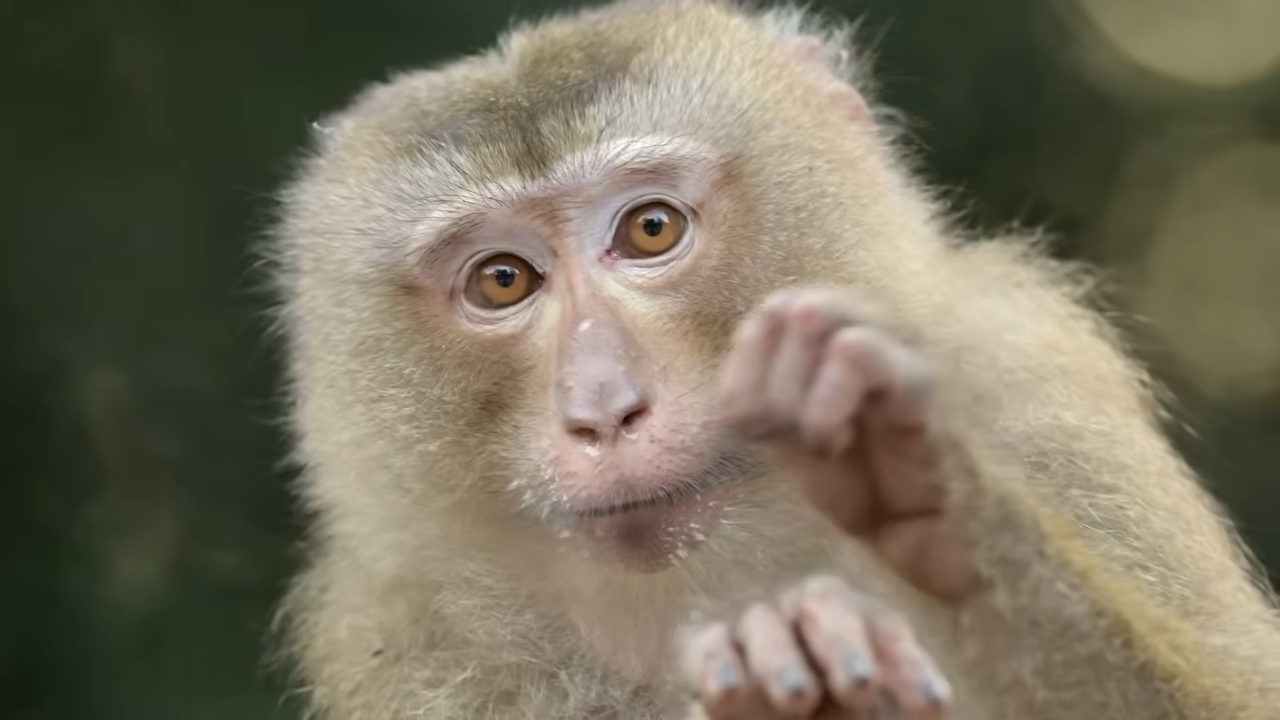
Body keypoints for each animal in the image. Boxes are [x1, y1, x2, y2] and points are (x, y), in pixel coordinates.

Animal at [266, 0, 1280, 718]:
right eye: (503, 281)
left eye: (650, 228)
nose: (604, 407)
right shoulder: (398, 622)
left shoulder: (1028, 380)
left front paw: (931, 495)